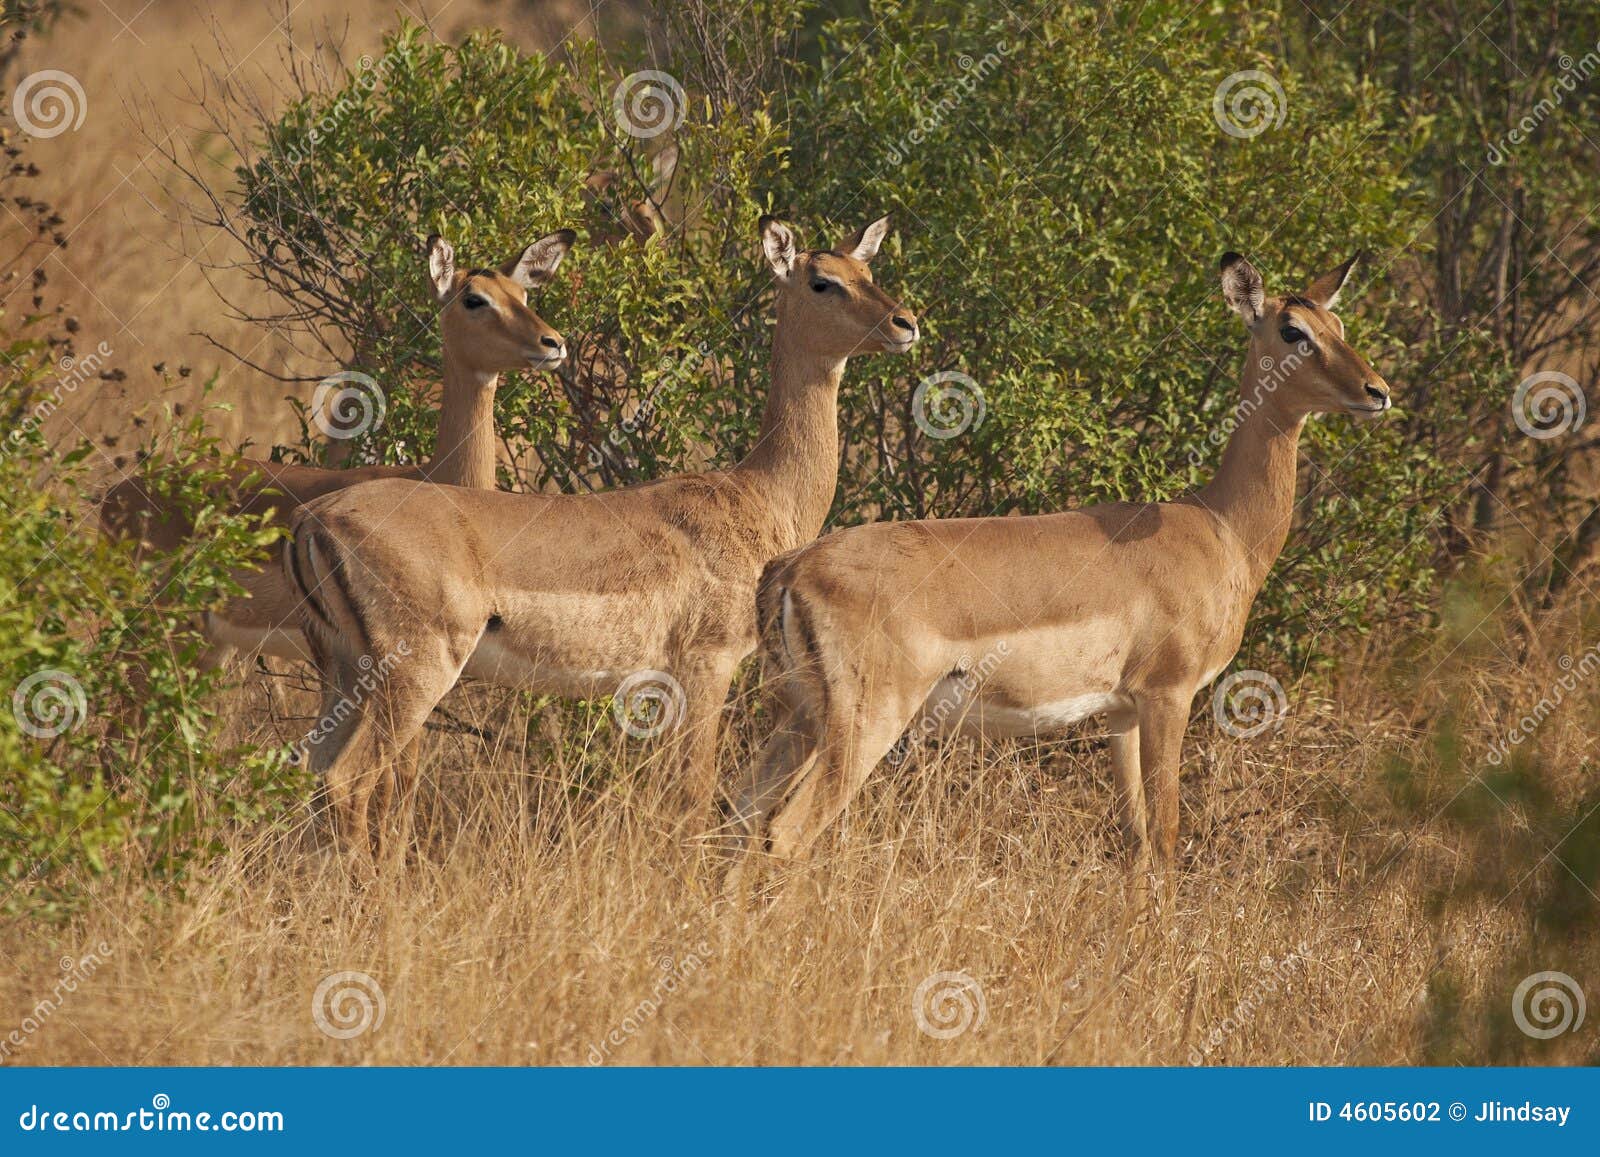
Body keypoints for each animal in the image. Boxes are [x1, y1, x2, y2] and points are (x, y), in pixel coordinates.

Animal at [99, 229, 575, 669]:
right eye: (474, 299)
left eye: (522, 294)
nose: (554, 342)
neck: (437, 477)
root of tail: (116, 496)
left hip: (210, 643)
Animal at [284, 214, 919, 854]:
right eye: (821, 281)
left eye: (866, 271)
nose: (904, 323)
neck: (758, 494)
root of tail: (314, 517)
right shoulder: (707, 667)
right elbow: (694, 799)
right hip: (417, 674)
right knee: (347, 779)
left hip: (347, 677)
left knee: (315, 771)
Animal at [731, 251, 1391, 866]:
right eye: (1292, 331)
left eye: (1336, 322)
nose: (1377, 392)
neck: (1219, 529)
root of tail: (790, 570)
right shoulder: (1168, 697)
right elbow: (1167, 837)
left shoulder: (1121, 713)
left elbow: (1136, 839)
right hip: (866, 722)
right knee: (786, 833)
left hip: (803, 719)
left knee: (741, 810)